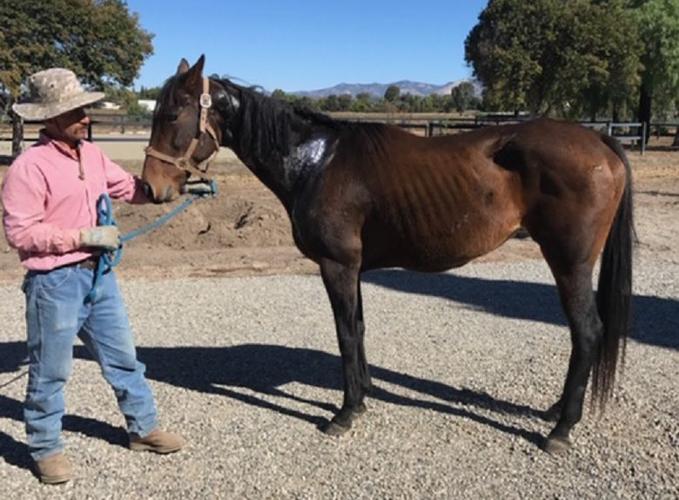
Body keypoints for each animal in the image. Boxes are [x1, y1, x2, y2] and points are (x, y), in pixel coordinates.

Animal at [141, 56, 633, 454]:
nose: (151, 187)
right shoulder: (354, 269)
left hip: (569, 262)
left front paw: (345, 413)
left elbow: (344, 333)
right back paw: (555, 412)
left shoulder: (337, 265)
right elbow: (358, 329)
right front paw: (363, 395)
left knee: (587, 332)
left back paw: (561, 429)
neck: (316, 163)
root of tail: (598, 141)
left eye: (173, 113)